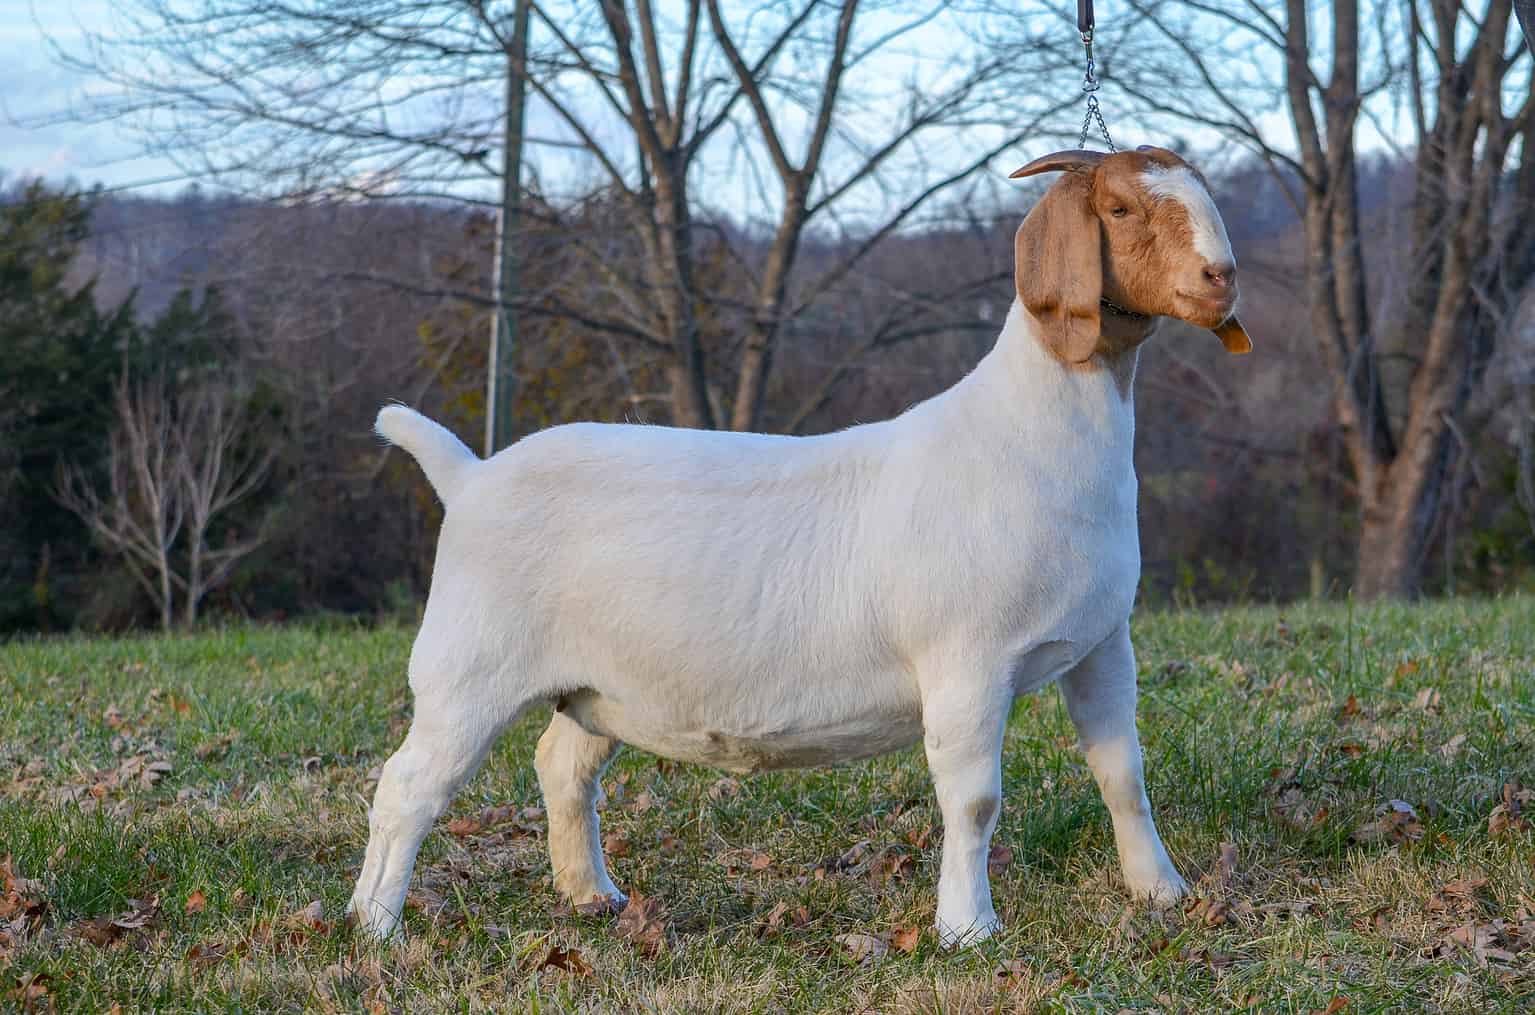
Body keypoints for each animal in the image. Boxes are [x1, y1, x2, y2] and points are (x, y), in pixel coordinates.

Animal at [349, 146, 1252, 948]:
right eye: (1120, 209)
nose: (1221, 278)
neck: (1028, 434)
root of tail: (467, 475)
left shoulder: (1101, 641)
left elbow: (1122, 772)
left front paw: (1161, 892)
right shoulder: (965, 661)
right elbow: (972, 801)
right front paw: (967, 929)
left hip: (597, 680)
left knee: (561, 766)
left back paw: (591, 896)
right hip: (469, 667)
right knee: (408, 784)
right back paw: (376, 925)